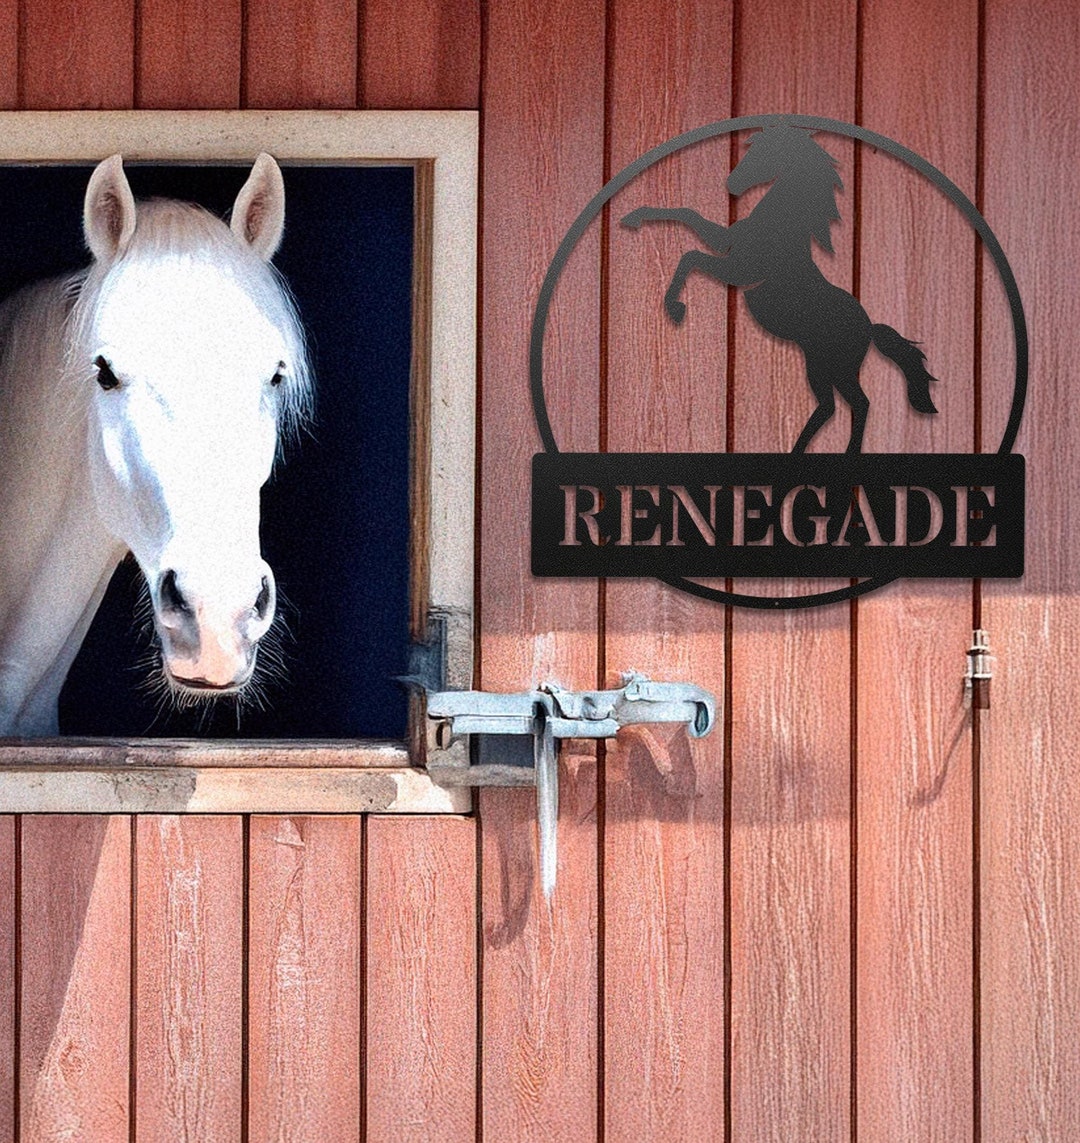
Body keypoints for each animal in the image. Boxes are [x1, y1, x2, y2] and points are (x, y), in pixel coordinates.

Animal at [621, 124, 938, 454]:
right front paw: (635, 216)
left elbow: (690, 257)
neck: (780, 227)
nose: (732, 183)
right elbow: (688, 215)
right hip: (820, 363)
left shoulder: (738, 270)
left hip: (835, 365)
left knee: (857, 403)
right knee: (832, 405)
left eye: (767, 151)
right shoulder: (726, 244)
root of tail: (869, 327)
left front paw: (676, 308)